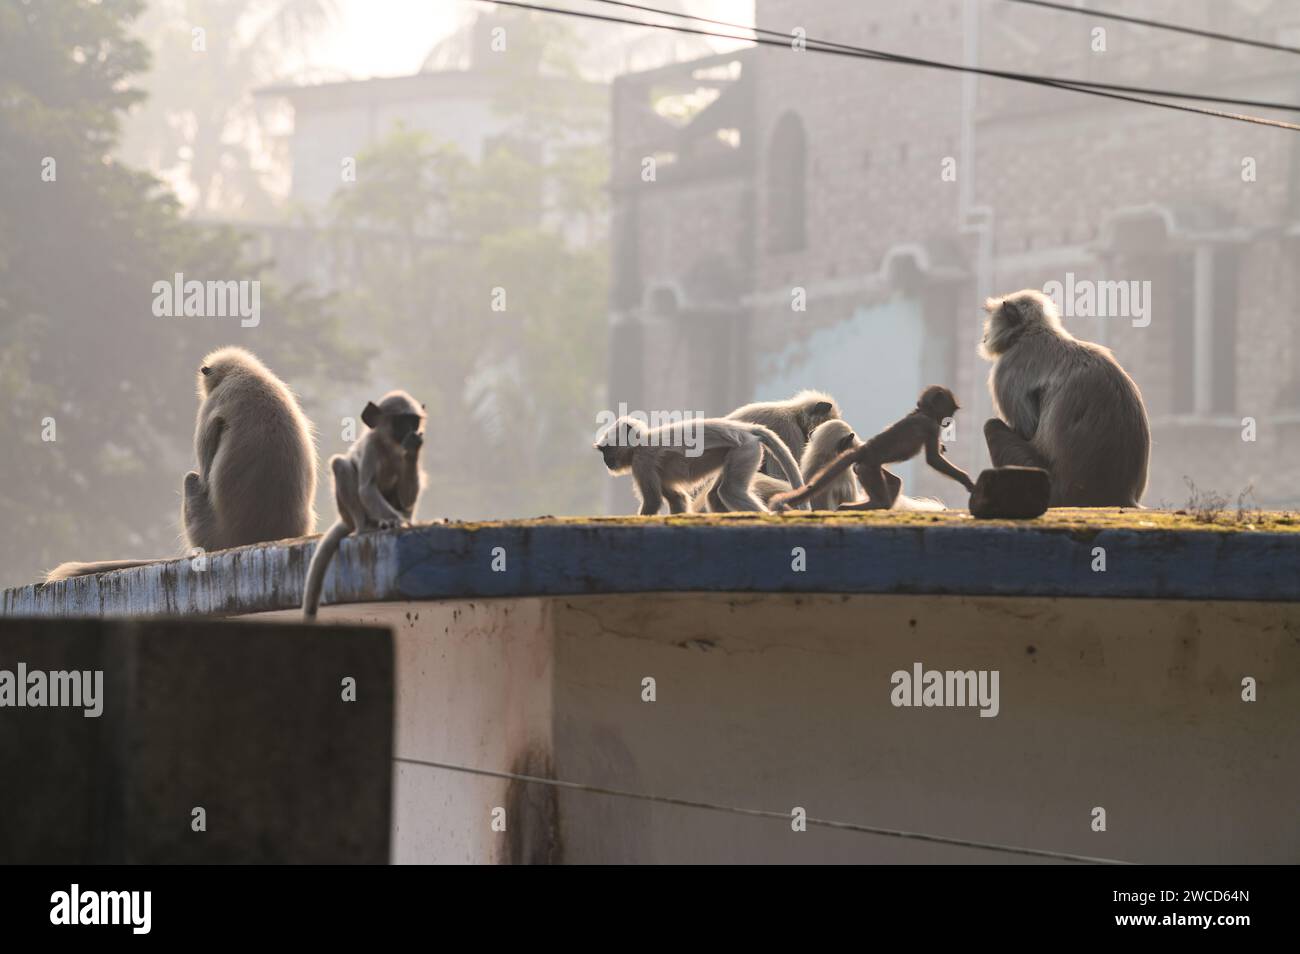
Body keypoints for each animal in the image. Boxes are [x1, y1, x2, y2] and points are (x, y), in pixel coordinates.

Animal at [302, 391, 426, 620]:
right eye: (401, 421)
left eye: (413, 421)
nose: (411, 432)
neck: (389, 446)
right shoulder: (370, 446)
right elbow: (366, 489)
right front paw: (395, 522)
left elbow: (407, 498)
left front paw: (414, 449)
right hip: (347, 512)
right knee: (341, 464)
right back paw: (365, 526)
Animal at [595, 416, 806, 514]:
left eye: (606, 450)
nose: (605, 462)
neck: (641, 443)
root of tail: (745, 430)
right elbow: (677, 499)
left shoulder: (642, 461)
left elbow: (653, 502)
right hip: (740, 452)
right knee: (715, 495)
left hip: (745, 449)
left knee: (729, 490)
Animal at [770, 386, 975, 512]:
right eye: (950, 411)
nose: (949, 421)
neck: (922, 412)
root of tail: (864, 450)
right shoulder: (930, 426)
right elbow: (933, 459)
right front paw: (967, 482)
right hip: (868, 468)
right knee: (882, 499)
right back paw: (856, 507)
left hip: (868, 468)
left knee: (895, 483)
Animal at [979, 290, 1151, 507]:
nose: (985, 337)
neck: (1032, 331)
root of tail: (1121, 495)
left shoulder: (1007, 366)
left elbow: (1028, 428)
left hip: (1049, 487)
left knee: (991, 426)